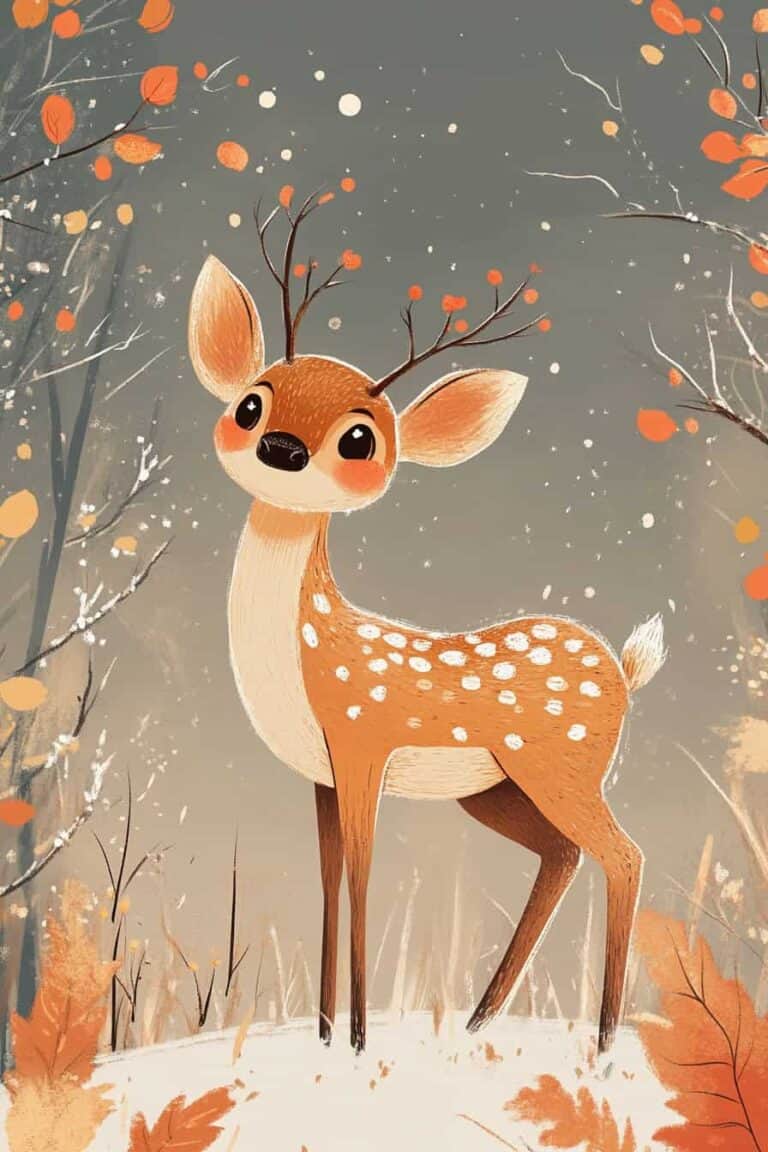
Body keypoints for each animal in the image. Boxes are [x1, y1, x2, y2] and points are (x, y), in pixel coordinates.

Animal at [188, 185, 666, 1057]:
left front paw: (358, 1041)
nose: (281, 447)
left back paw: (606, 1039)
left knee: (624, 855)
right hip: (499, 790)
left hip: (564, 766)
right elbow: (327, 878)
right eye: (250, 403)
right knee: (564, 857)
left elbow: (364, 875)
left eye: (359, 438)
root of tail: (624, 667)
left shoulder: (361, 741)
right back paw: (480, 1019)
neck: (304, 651)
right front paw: (321, 1033)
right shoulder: (318, 770)